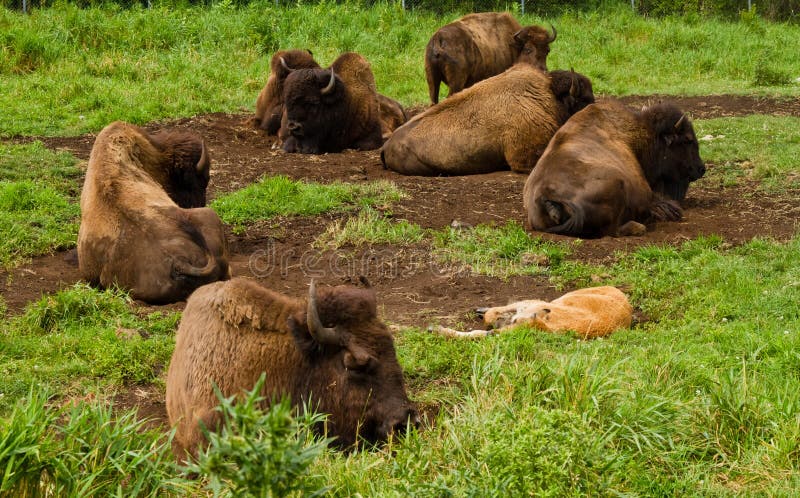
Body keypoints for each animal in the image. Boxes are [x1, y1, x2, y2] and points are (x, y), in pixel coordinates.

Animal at [425, 12, 557, 104]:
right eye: (528, 49)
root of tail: (438, 37)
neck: (513, 44)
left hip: (432, 79)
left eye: (547, 50)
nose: (544, 71)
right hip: (456, 82)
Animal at [523, 100, 706, 238]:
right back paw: (639, 227)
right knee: (613, 230)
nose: (701, 169)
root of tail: (545, 195)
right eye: (688, 140)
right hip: (618, 184)